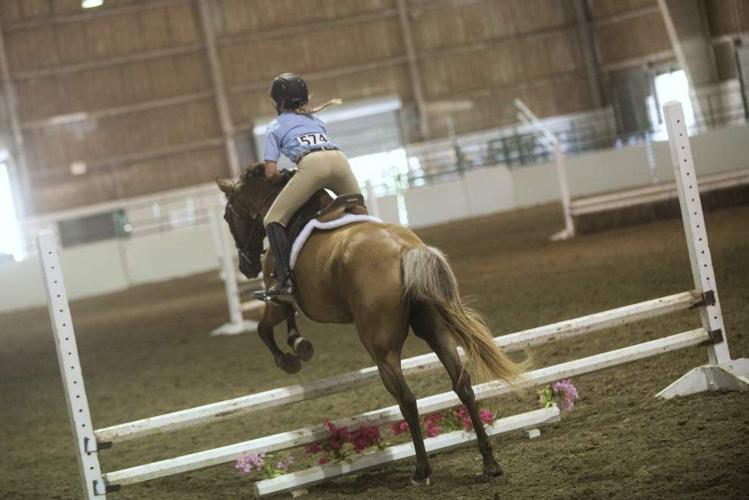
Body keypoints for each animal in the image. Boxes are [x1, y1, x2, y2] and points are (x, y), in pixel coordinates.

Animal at [216, 165, 525, 484]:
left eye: (228, 216)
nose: (247, 267)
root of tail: (405, 250)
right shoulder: (287, 303)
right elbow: (288, 320)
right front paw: (299, 344)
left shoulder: (277, 300)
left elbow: (263, 328)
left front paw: (288, 359)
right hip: (436, 330)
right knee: (462, 385)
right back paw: (489, 463)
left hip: (381, 349)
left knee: (408, 400)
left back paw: (421, 471)